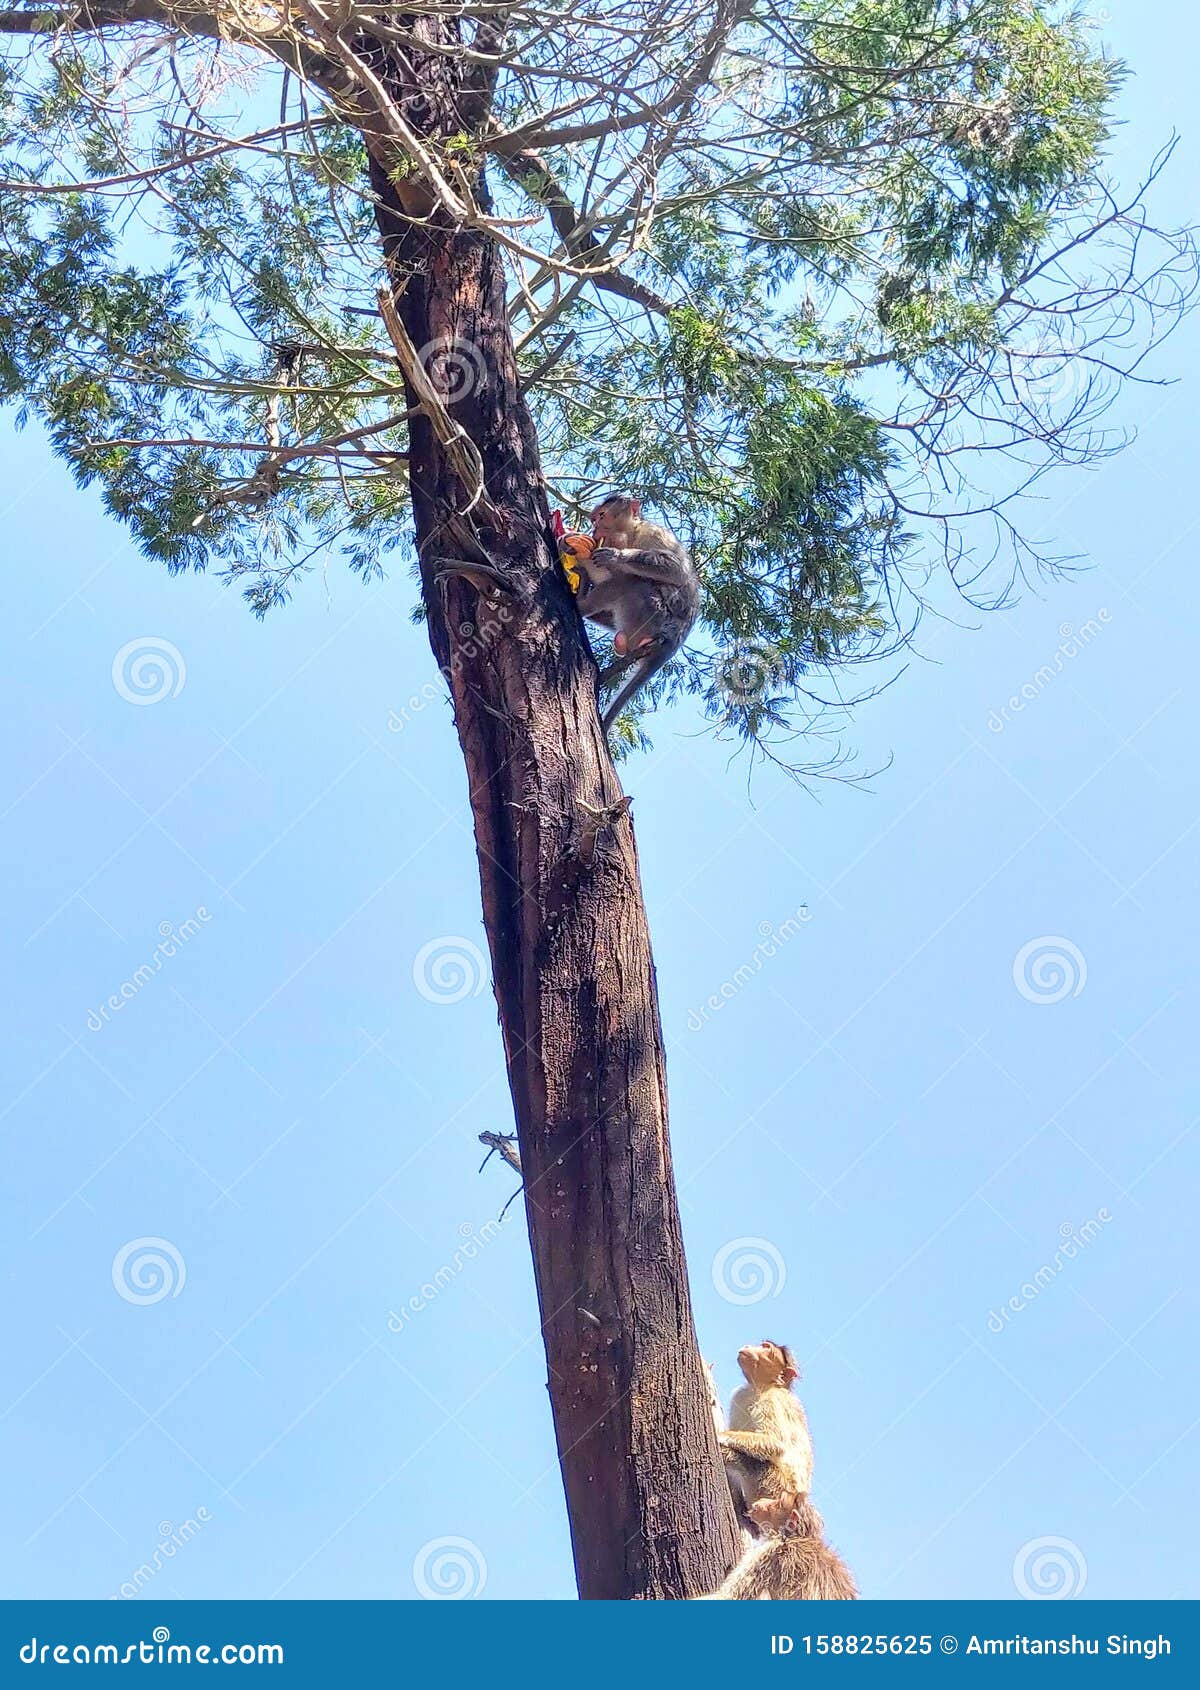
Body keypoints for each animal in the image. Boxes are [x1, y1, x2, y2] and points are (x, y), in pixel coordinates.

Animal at [575, 494, 700, 731]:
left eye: (602, 516)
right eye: (594, 519)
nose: (595, 529)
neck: (631, 535)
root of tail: (672, 644)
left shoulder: (653, 534)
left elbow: (676, 571)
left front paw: (614, 556)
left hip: (652, 616)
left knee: (631, 581)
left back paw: (580, 605)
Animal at [719, 1339, 814, 1533]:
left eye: (766, 1347)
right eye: (763, 1344)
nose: (749, 1345)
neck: (761, 1387)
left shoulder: (771, 1401)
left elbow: (775, 1443)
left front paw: (720, 1435)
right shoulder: (740, 1394)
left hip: (775, 1490)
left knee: (754, 1463)